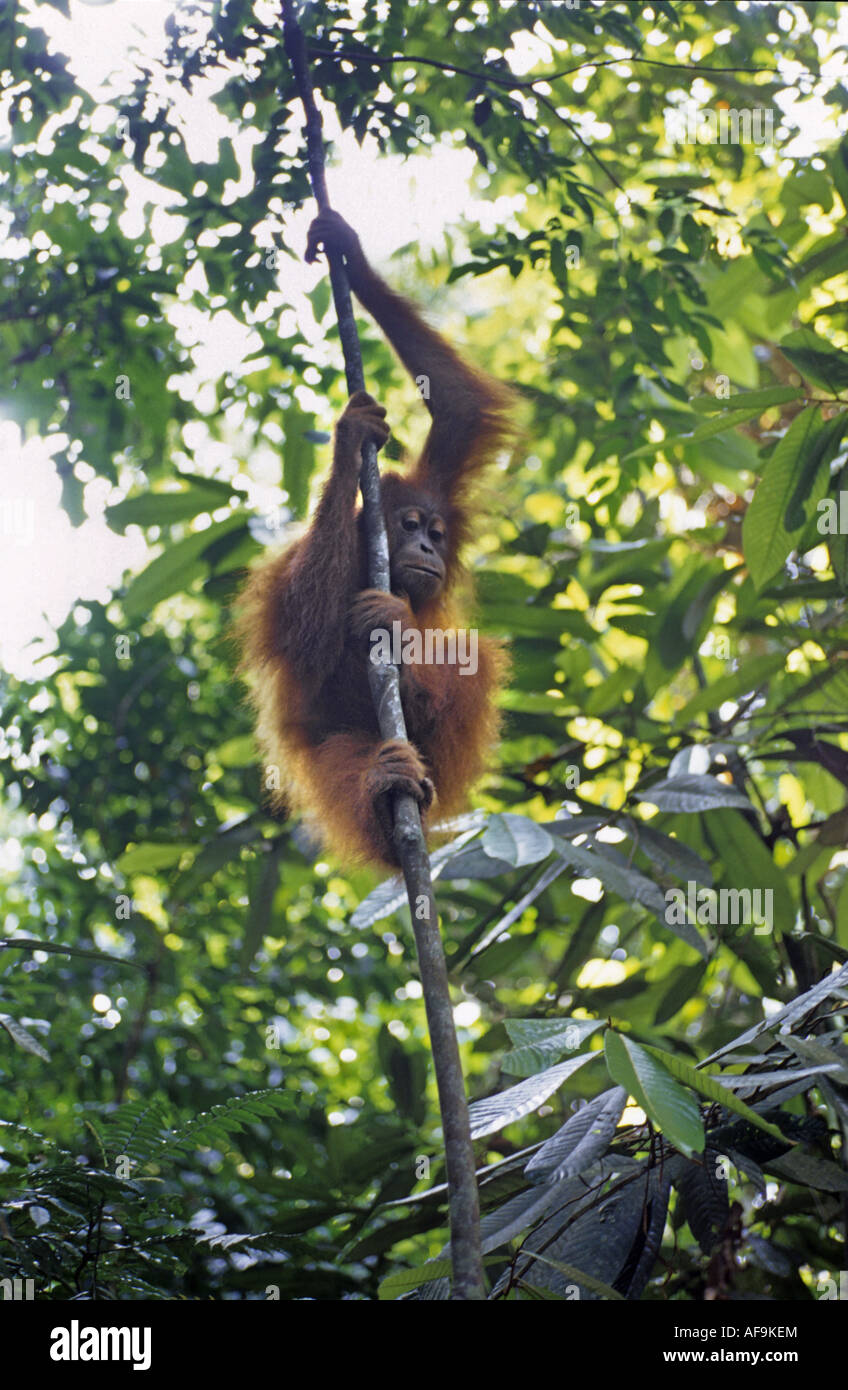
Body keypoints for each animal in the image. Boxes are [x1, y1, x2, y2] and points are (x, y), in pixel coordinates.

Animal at [235, 210, 513, 868]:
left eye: (435, 531)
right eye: (407, 527)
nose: (428, 548)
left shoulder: (440, 482)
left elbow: (460, 407)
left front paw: (350, 252)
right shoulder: (287, 576)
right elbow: (306, 630)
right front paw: (347, 438)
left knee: (477, 658)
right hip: (332, 757)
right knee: (350, 760)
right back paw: (387, 811)